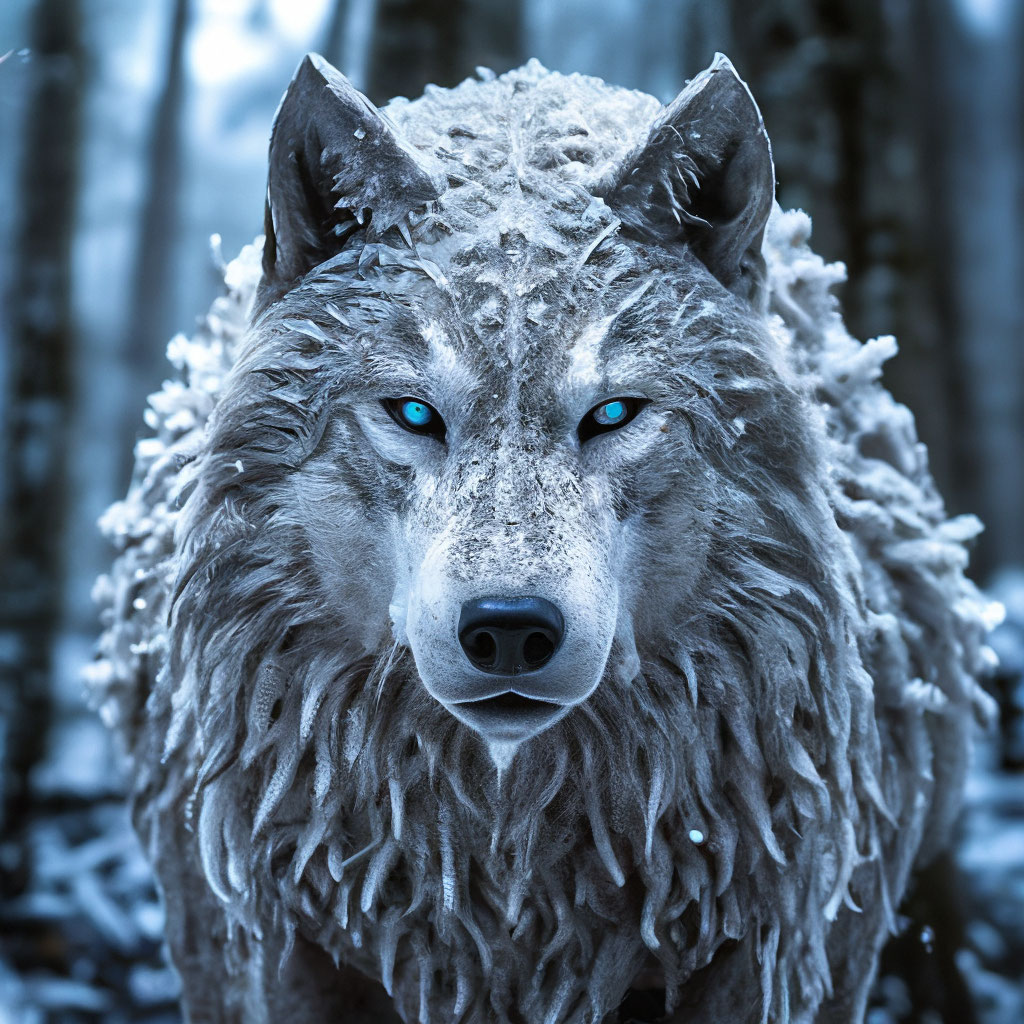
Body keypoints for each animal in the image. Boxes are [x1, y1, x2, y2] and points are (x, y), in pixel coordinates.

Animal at [92, 53, 997, 1023]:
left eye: (613, 414)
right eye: (413, 413)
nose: (509, 629)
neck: (508, 872)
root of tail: (517, 78)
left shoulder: (773, 953)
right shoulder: (284, 951)